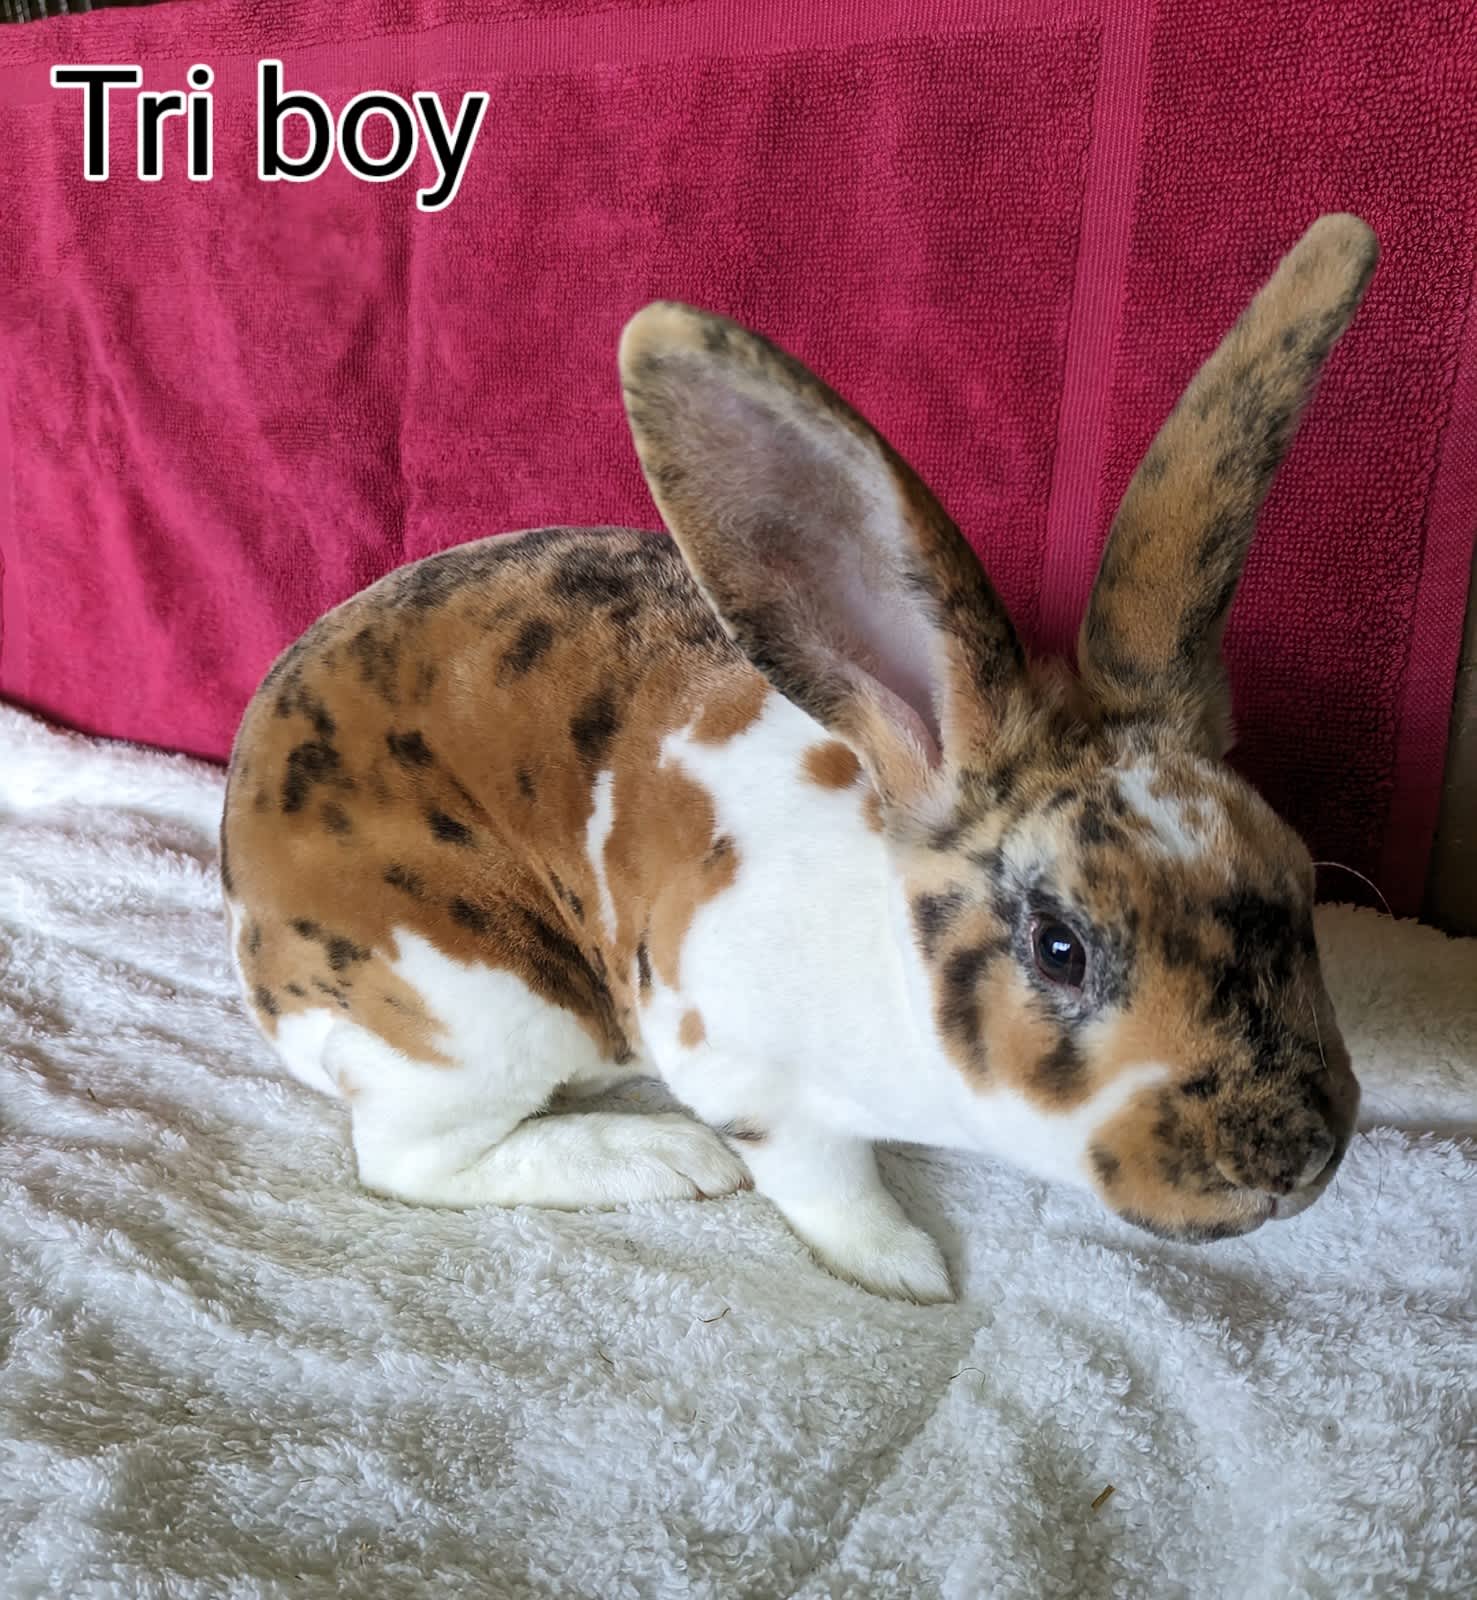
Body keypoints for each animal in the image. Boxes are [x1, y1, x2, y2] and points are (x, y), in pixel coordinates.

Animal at [221, 213, 1375, 1303]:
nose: (1290, 1164)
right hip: (484, 1016)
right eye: (1059, 949)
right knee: (405, 1164)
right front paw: (900, 1265)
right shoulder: (748, 1078)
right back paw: (664, 1156)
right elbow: (827, 1185)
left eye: (1299, 881)